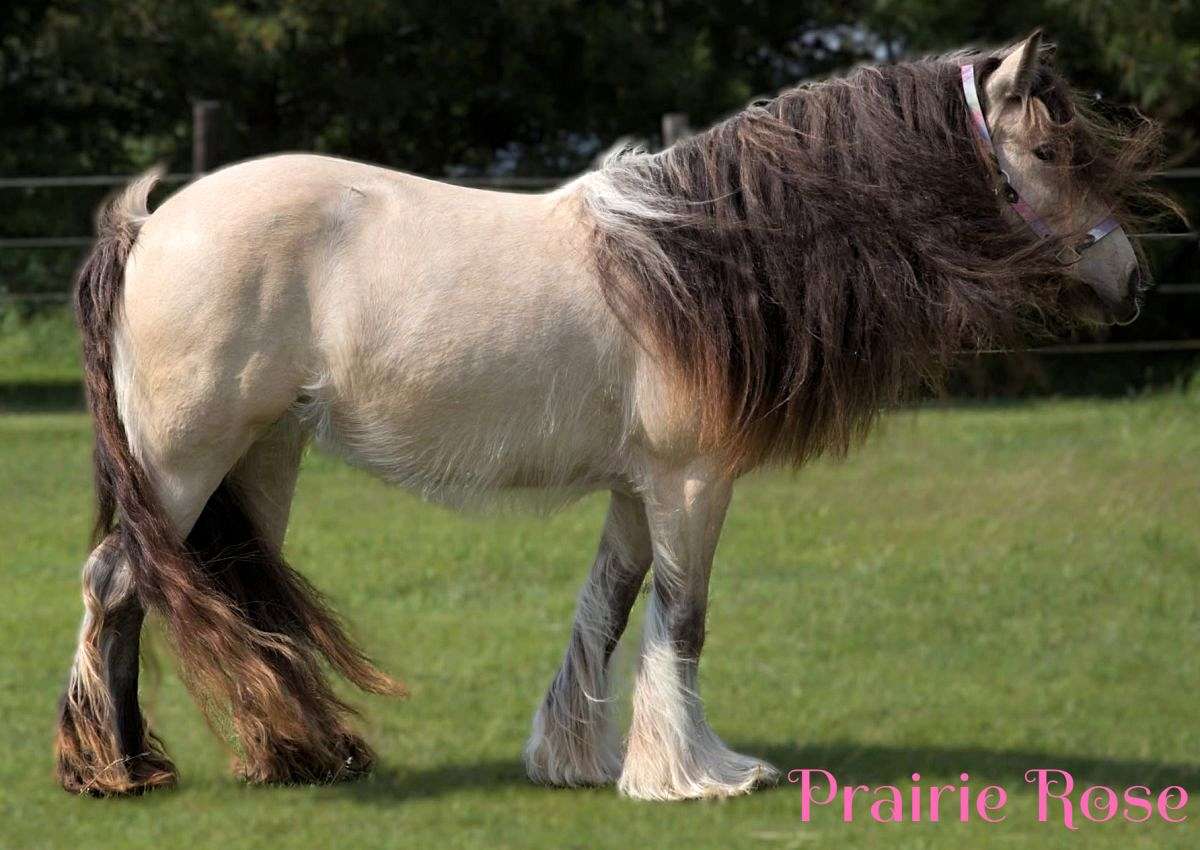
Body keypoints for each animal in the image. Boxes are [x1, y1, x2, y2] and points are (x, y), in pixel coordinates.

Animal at [58, 31, 1169, 800]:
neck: (697, 258)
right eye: (1051, 153)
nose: (1134, 282)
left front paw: (575, 757)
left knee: (213, 589)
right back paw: (115, 768)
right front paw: (697, 773)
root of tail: (151, 224)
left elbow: (610, 604)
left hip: (261, 460)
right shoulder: (691, 482)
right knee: (117, 581)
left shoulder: (638, 489)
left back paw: (288, 754)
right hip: (183, 462)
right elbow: (684, 617)